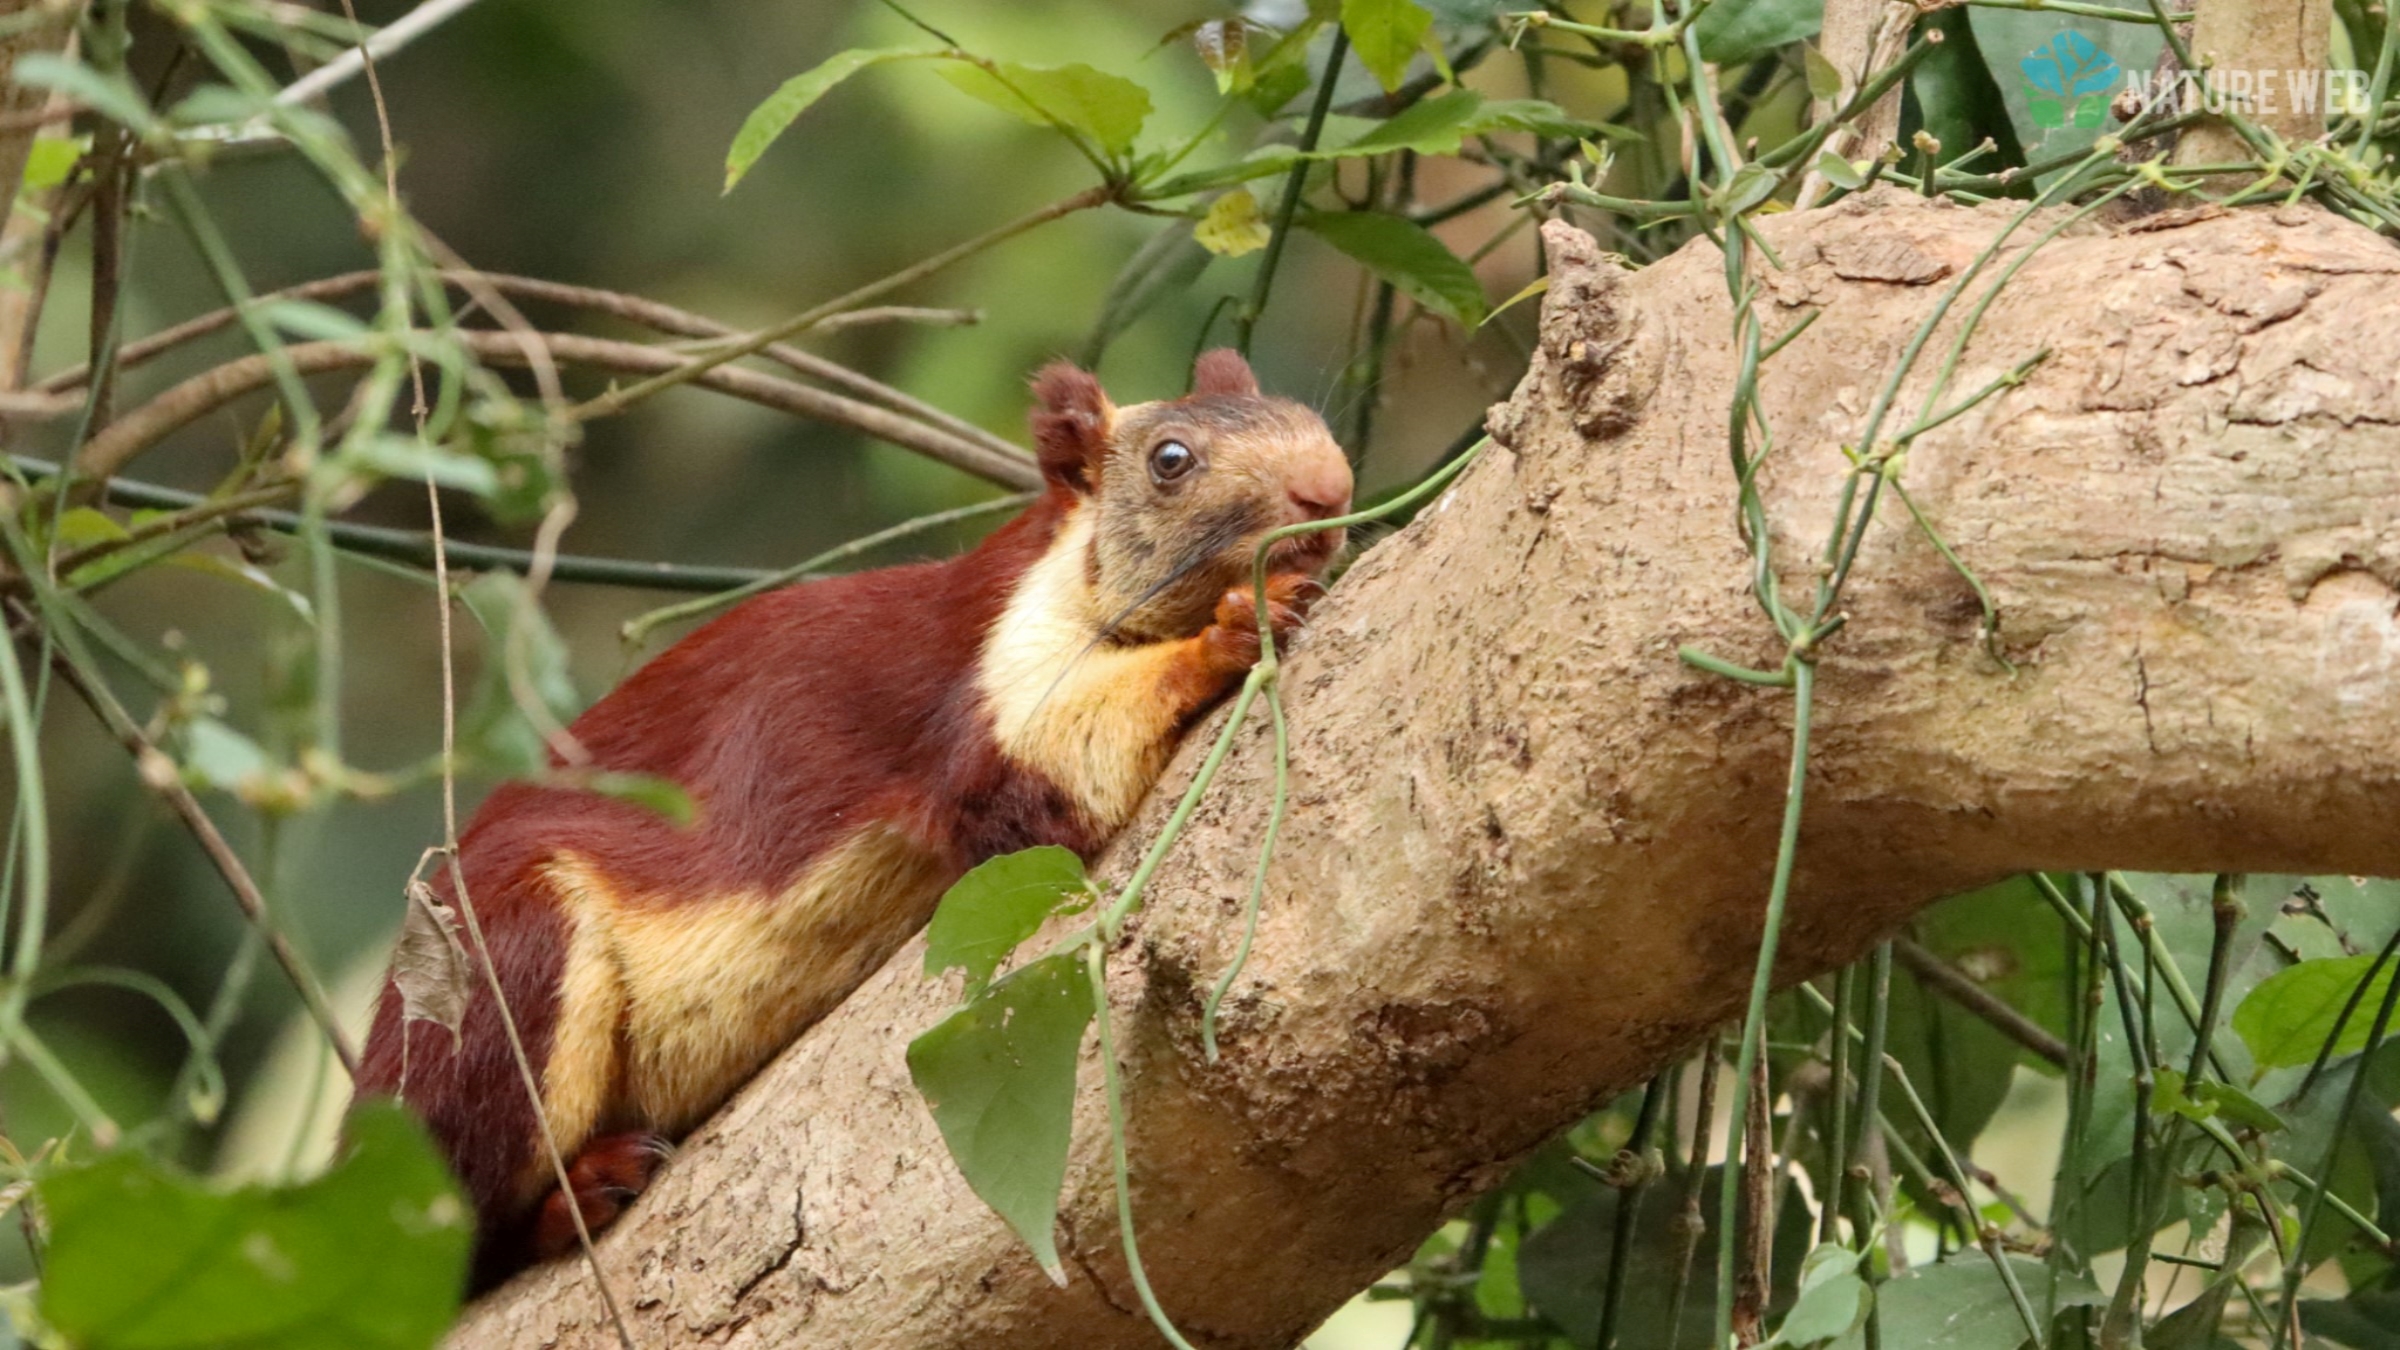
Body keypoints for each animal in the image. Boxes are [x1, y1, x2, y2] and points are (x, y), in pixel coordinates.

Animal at [354, 349, 1353, 1289]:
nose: (1330, 488)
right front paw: (1237, 626)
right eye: (1170, 460)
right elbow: (1030, 781)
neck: (1065, 569)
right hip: (504, 981)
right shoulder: (972, 690)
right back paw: (586, 1191)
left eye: (1303, 414)